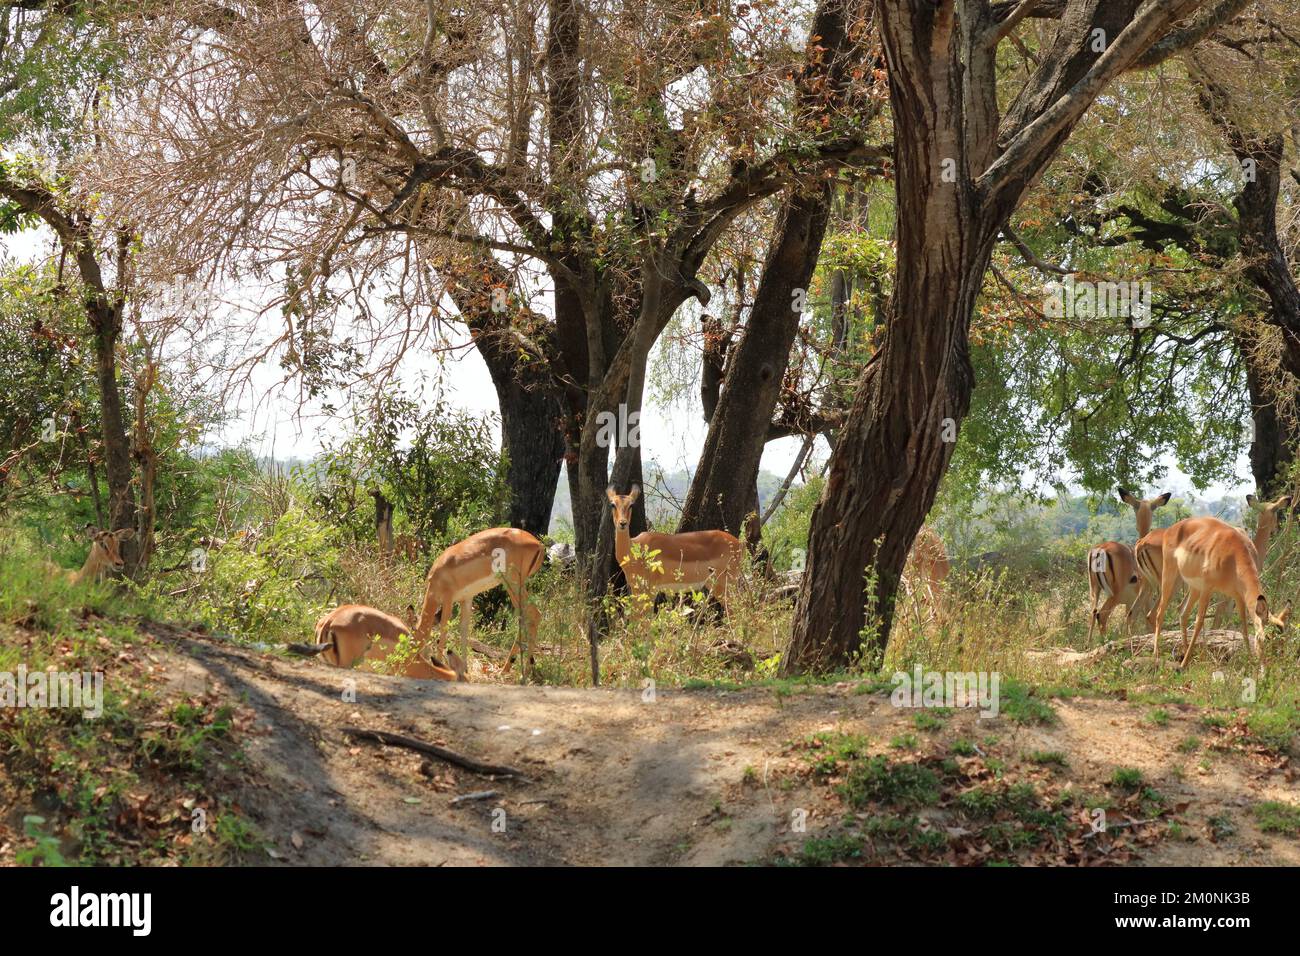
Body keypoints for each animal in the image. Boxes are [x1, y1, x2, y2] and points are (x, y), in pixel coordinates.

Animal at [411, 528, 544, 680]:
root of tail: (538, 544)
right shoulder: (466, 599)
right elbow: (464, 631)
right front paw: (465, 669)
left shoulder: (447, 599)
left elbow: (444, 632)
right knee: (525, 617)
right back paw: (508, 670)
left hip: (512, 583)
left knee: (533, 614)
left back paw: (520, 675)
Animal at [605, 485, 744, 618]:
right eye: (613, 504)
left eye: (631, 505)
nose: (622, 523)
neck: (634, 548)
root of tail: (738, 543)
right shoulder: (636, 590)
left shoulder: (651, 590)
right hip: (715, 585)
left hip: (726, 584)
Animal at [1087, 487, 1170, 641]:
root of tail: (1100, 550)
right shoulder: (1145, 596)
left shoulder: (1129, 601)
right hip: (1114, 594)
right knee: (1102, 615)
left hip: (1095, 590)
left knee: (1093, 614)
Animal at [1151, 515, 1291, 670]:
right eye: (1265, 638)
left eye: (1284, 640)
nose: (1275, 669)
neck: (1235, 554)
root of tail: (1171, 529)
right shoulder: (1208, 588)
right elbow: (1199, 622)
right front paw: (1182, 664)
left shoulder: (1238, 596)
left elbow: (1243, 626)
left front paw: (1249, 661)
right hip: (1170, 576)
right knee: (1160, 612)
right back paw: (1158, 656)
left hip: (1194, 587)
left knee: (1182, 612)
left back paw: (1187, 655)